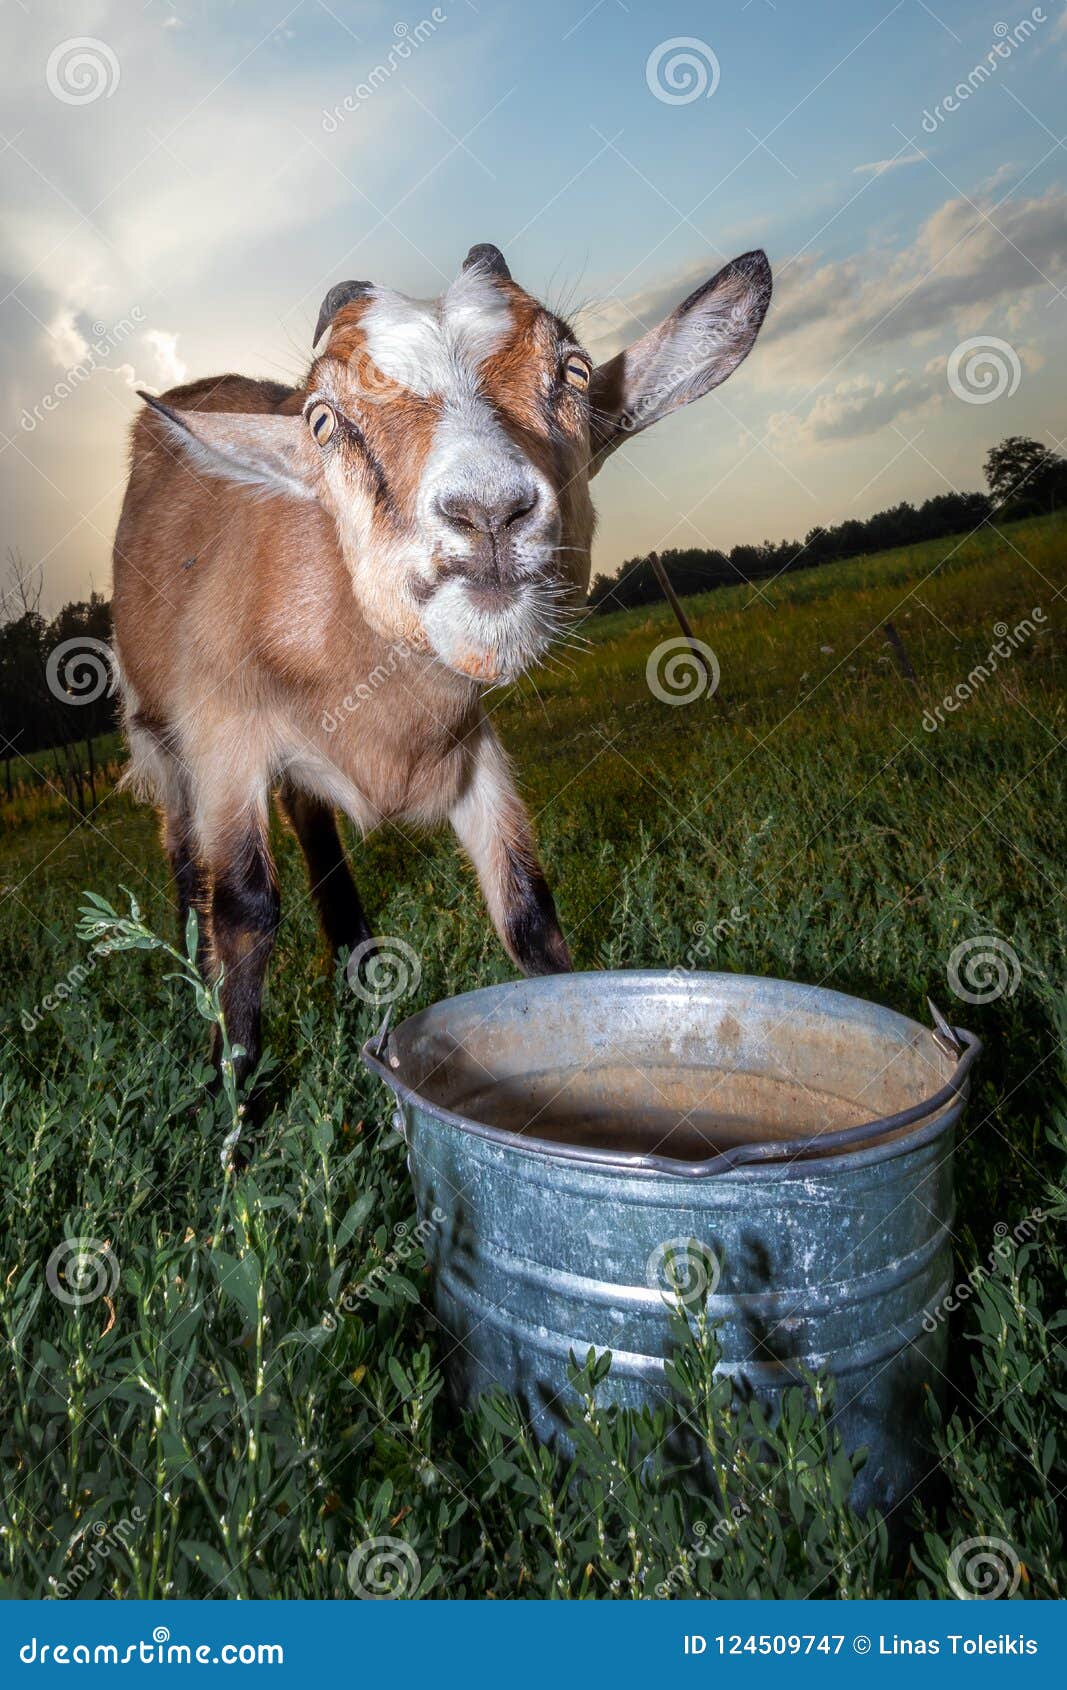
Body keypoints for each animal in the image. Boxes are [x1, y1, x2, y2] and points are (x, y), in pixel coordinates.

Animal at [111, 242, 772, 1081]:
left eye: (576, 370)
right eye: (322, 420)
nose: (487, 512)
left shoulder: (472, 746)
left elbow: (525, 901)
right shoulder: (222, 737)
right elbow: (243, 907)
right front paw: (231, 1091)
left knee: (309, 818)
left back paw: (357, 959)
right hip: (159, 736)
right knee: (181, 850)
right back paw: (189, 972)